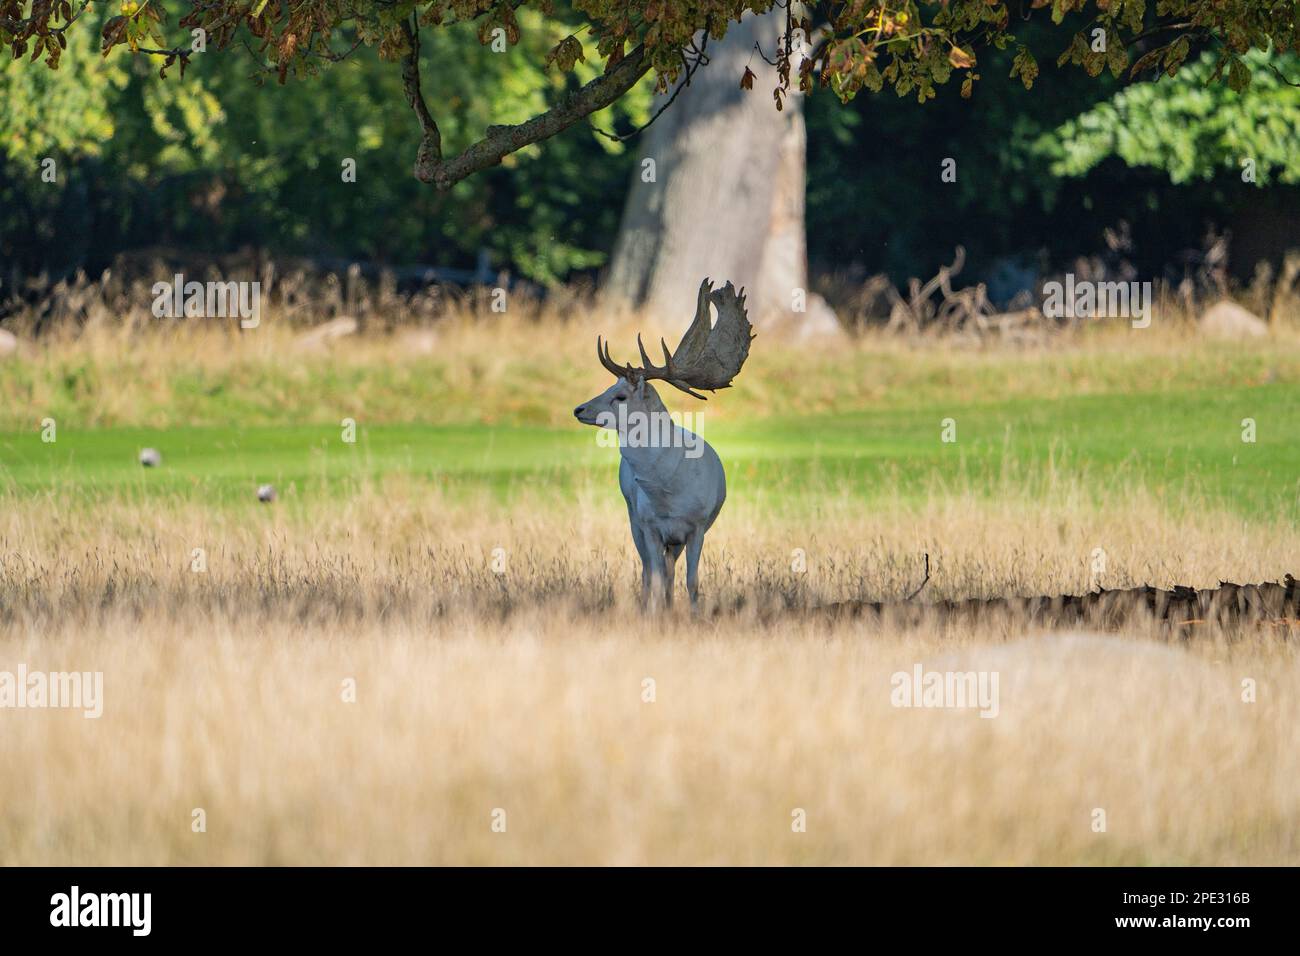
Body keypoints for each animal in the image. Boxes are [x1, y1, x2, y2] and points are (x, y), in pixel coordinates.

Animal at [574, 278, 754, 610]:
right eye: (609, 387)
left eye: (620, 396)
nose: (578, 409)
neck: (668, 493)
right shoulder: (649, 526)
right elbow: (654, 576)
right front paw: (654, 613)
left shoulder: (697, 527)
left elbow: (692, 581)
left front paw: (694, 614)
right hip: (633, 517)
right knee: (650, 571)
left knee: (670, 569)